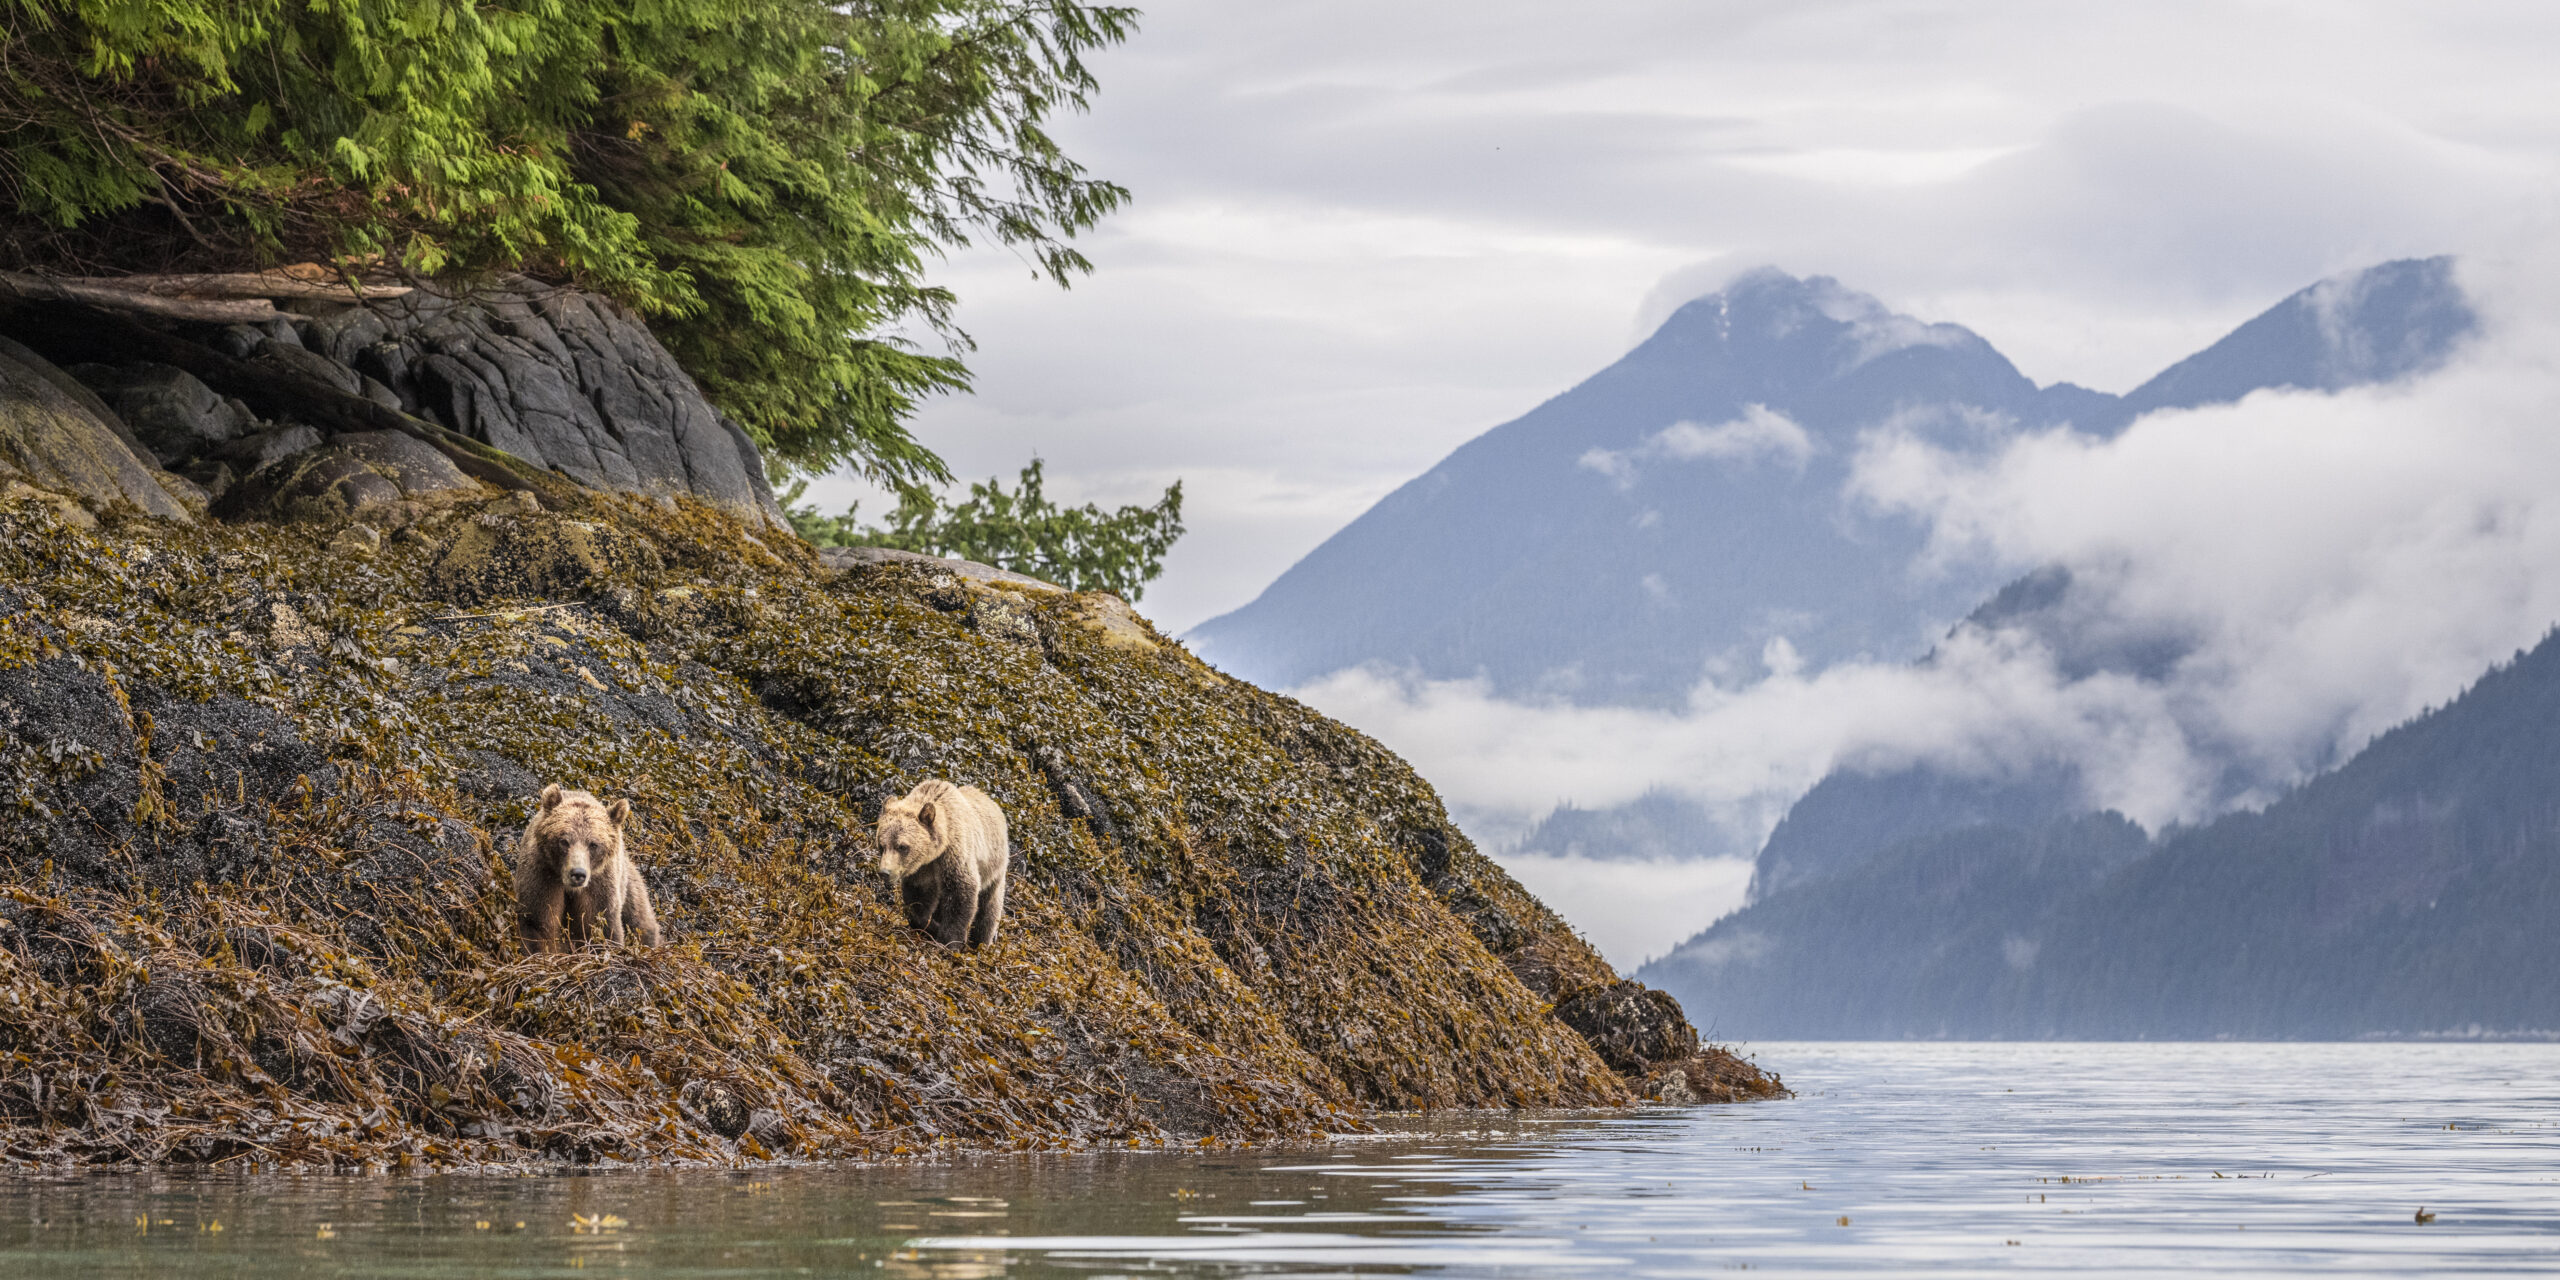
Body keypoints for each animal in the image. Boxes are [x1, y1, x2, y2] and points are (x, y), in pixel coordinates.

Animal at [514, 783, 663, 952]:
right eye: (564, 841)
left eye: (593, 844)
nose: (578, 873)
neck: (571, 889)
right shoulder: (543, 875)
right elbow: (539, 923)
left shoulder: (599, 887)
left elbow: (600, 927)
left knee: (641, 922)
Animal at [876, 779, 1010, 949]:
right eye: (881, 845)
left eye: (902, 846)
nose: (884, 872)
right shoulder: (922, 871)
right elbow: (918, 899)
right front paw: (929, 925)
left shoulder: (953, 854)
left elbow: (961, 893)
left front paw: (950, 942)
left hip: (994, 867)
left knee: (989, 907)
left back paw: (981, 942)